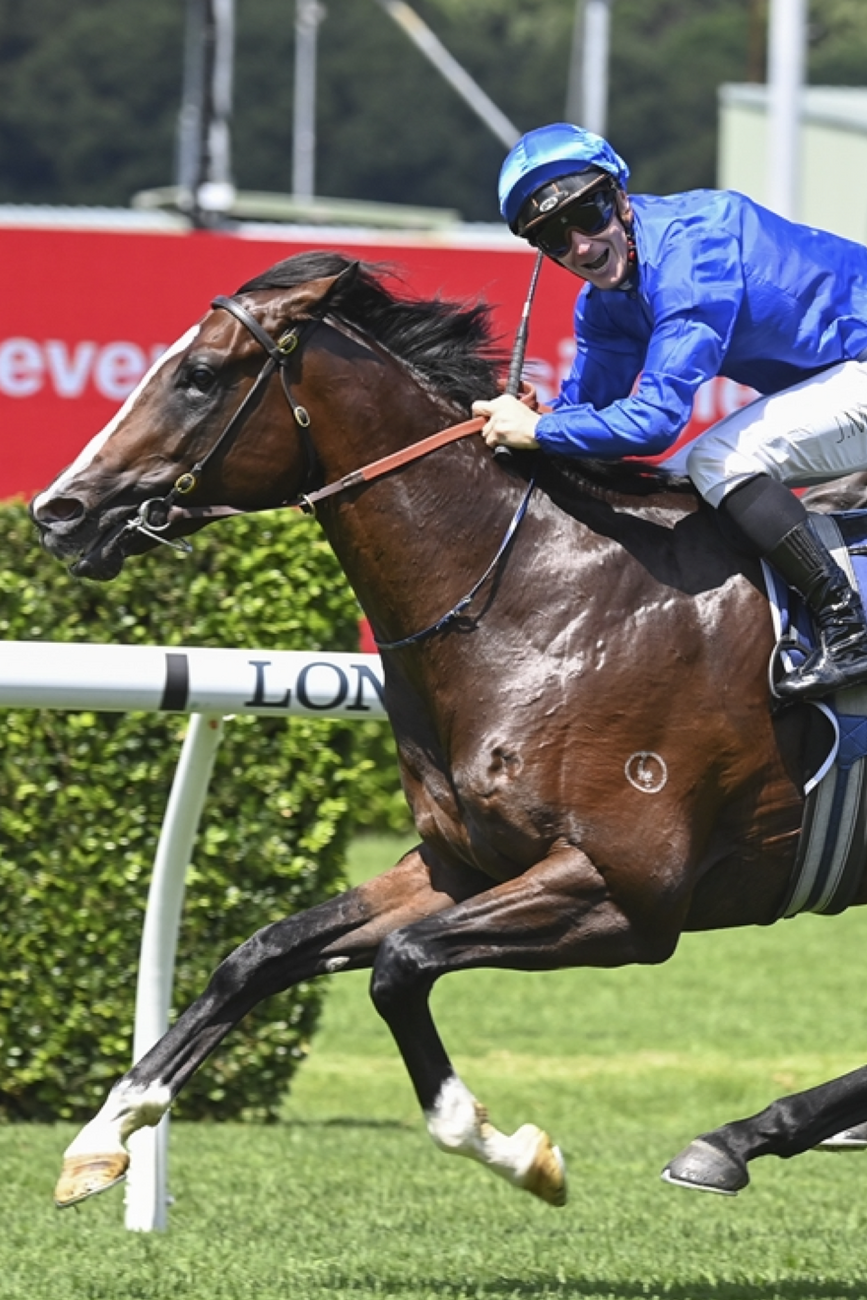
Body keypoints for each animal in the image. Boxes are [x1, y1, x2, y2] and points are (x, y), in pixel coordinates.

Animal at [30, 249, 867, 1210]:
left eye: (199, 376)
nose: (58, 513)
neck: (531, 600)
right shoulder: (458, 864)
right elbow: (261, 952)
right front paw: (104, 1132)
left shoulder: (625, 891)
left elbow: (400, 964)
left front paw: (514, 1151)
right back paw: (751, 1134)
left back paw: (747, 1134)